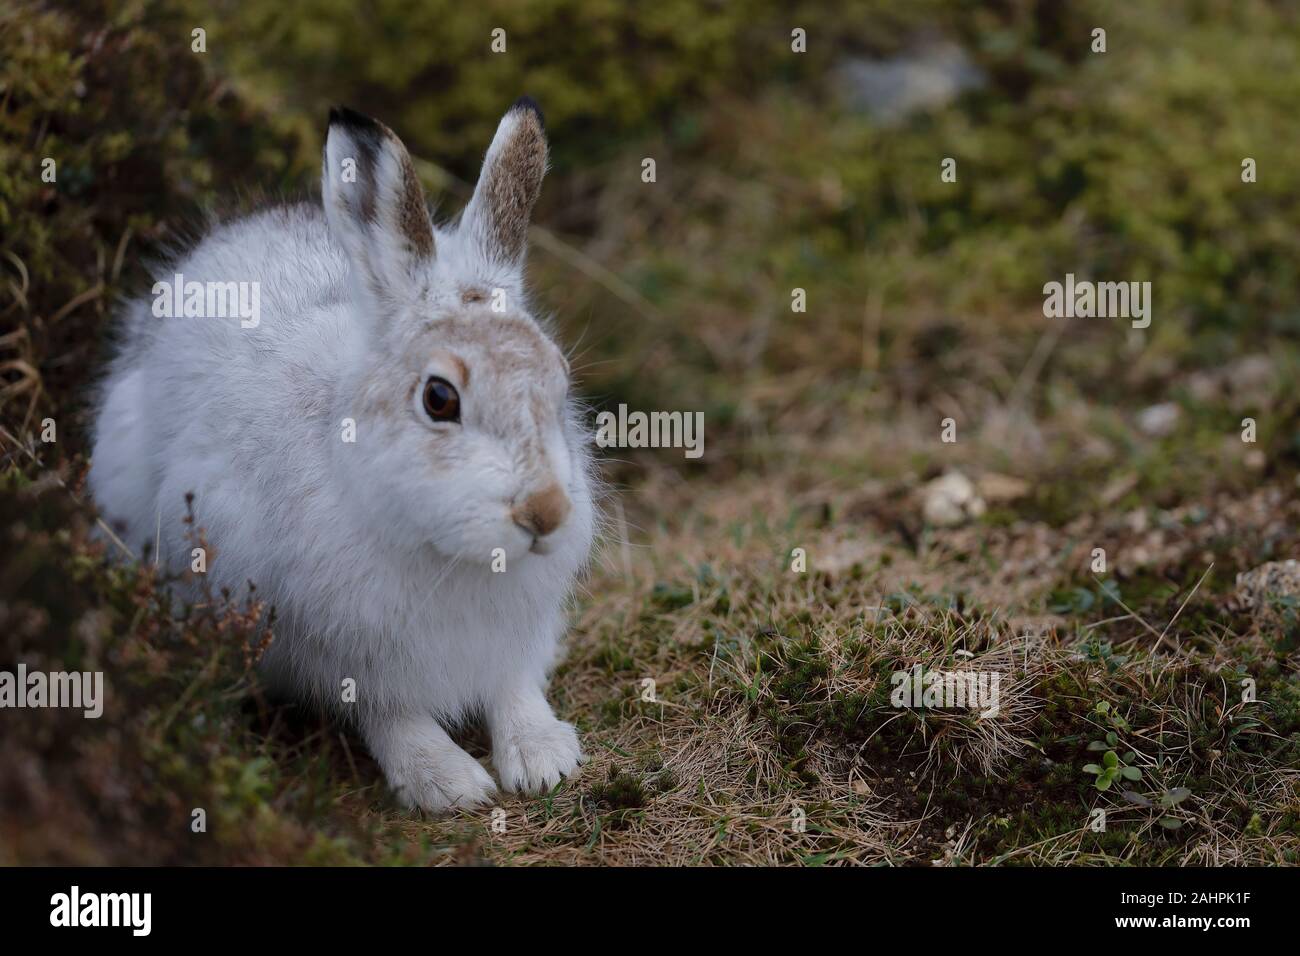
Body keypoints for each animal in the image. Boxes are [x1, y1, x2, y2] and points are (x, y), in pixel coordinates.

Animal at [88, 99, 598, 812]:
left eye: (559, 378)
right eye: (439, 398)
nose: (546, 513)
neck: (445, 551)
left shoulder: (517, 634)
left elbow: (513, 685)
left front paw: (544, 756)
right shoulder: (329, 648)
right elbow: (387, 711)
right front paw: (446, 782)